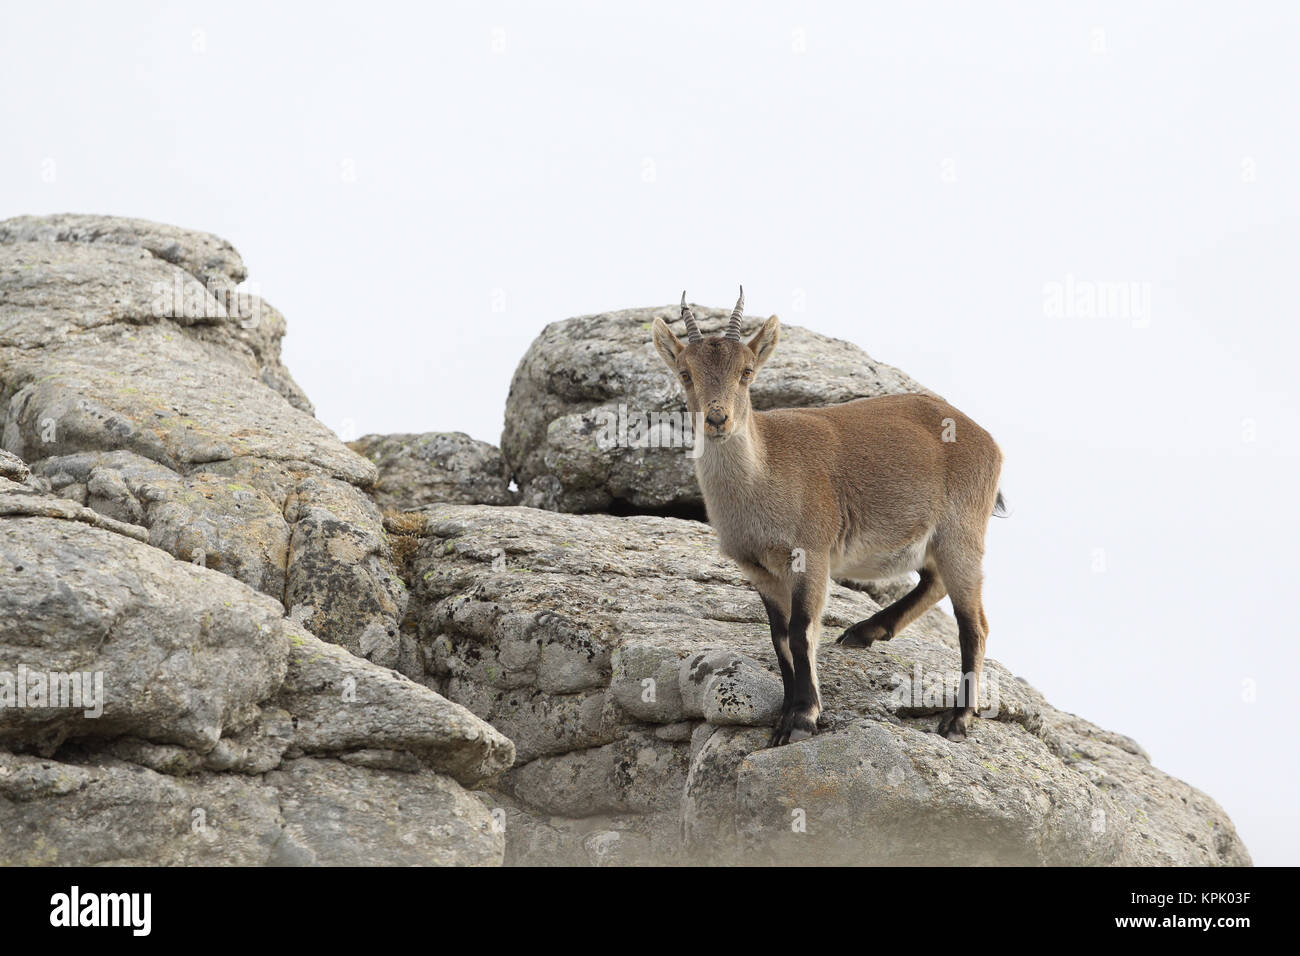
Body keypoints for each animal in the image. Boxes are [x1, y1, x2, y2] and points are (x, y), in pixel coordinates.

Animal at [652, 288, 1004, 745]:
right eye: (685, 373)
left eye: (746, 372)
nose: (717, 419)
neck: (763, 477)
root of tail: (988, 441)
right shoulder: (760, 571)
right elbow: (780, 637)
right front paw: (785, 714)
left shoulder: (812, 553)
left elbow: (802, 632)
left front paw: (803, 717)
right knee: (934, 581)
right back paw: (865, 632)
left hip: (962, 530)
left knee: (973, 624)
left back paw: (958, 718)